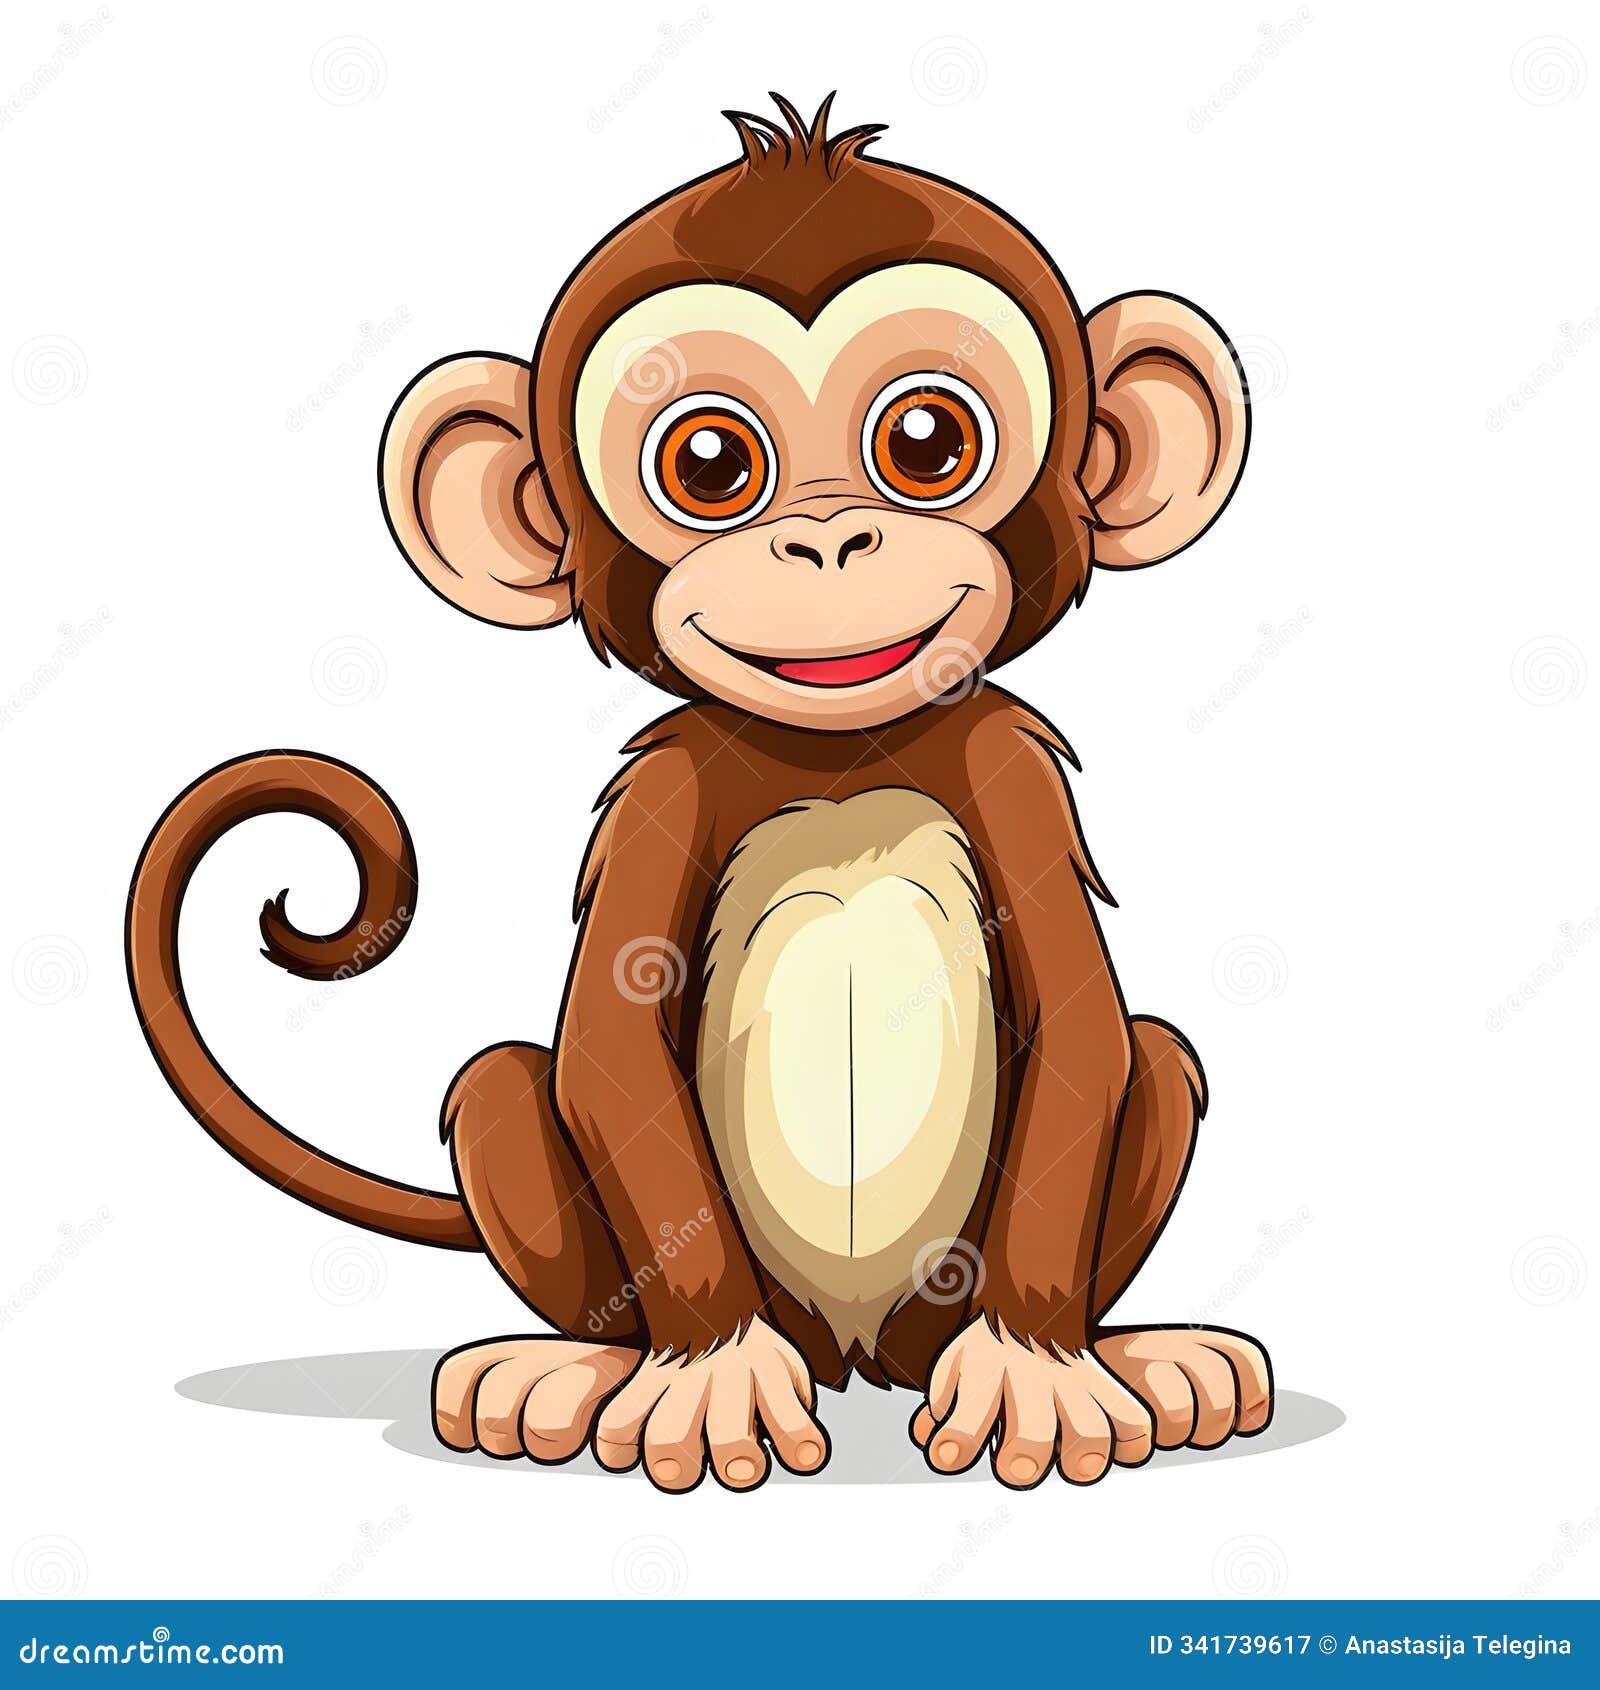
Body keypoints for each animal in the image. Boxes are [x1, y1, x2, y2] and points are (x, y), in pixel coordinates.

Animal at [128, 93, 1271, 1494]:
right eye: (712, 463)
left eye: (927, 442)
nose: (828, 543)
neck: (839, 759)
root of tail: (857, 1359)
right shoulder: (669, 787)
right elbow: (611, 1055)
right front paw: (710, 1370)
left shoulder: (1005, 765)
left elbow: (1083, 1034)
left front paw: (1036, 1366)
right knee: (502, 1087)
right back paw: (575, 1362)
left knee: (1155, 1056)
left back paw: (1147, 1354)